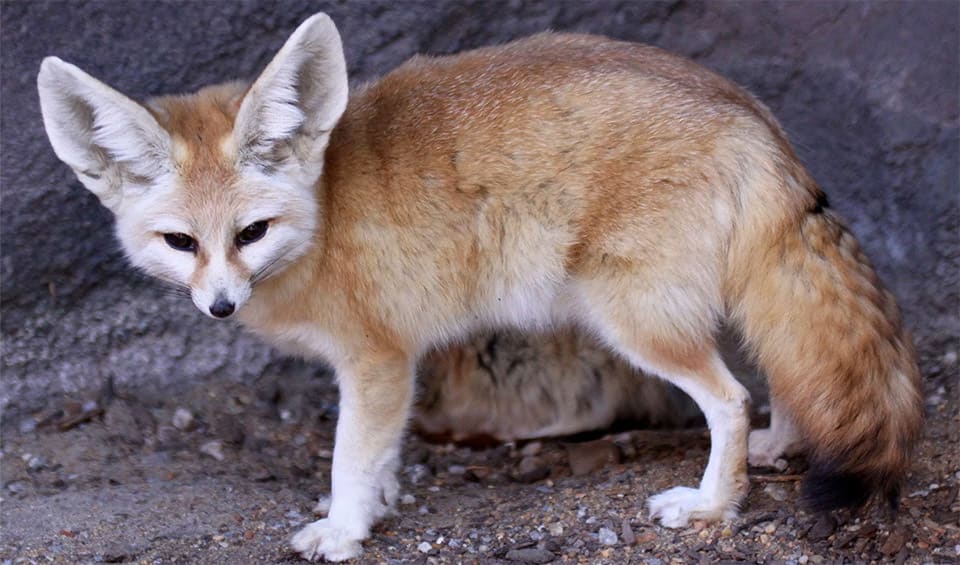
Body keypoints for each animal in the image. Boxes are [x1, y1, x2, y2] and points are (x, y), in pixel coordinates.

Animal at [38, 12, 922, 562]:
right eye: (182, 243)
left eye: (250, 234)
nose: (221, 305)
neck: (323, 216)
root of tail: (745, 109)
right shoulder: (390, 367)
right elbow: (382, 455)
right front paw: (378, 505)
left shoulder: (379, 359)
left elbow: (349, 458)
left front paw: (345, 529)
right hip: (709, 301)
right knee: (778, 367)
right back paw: (782, 441)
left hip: (634, 320)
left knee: (729, 398)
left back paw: (711, 504)